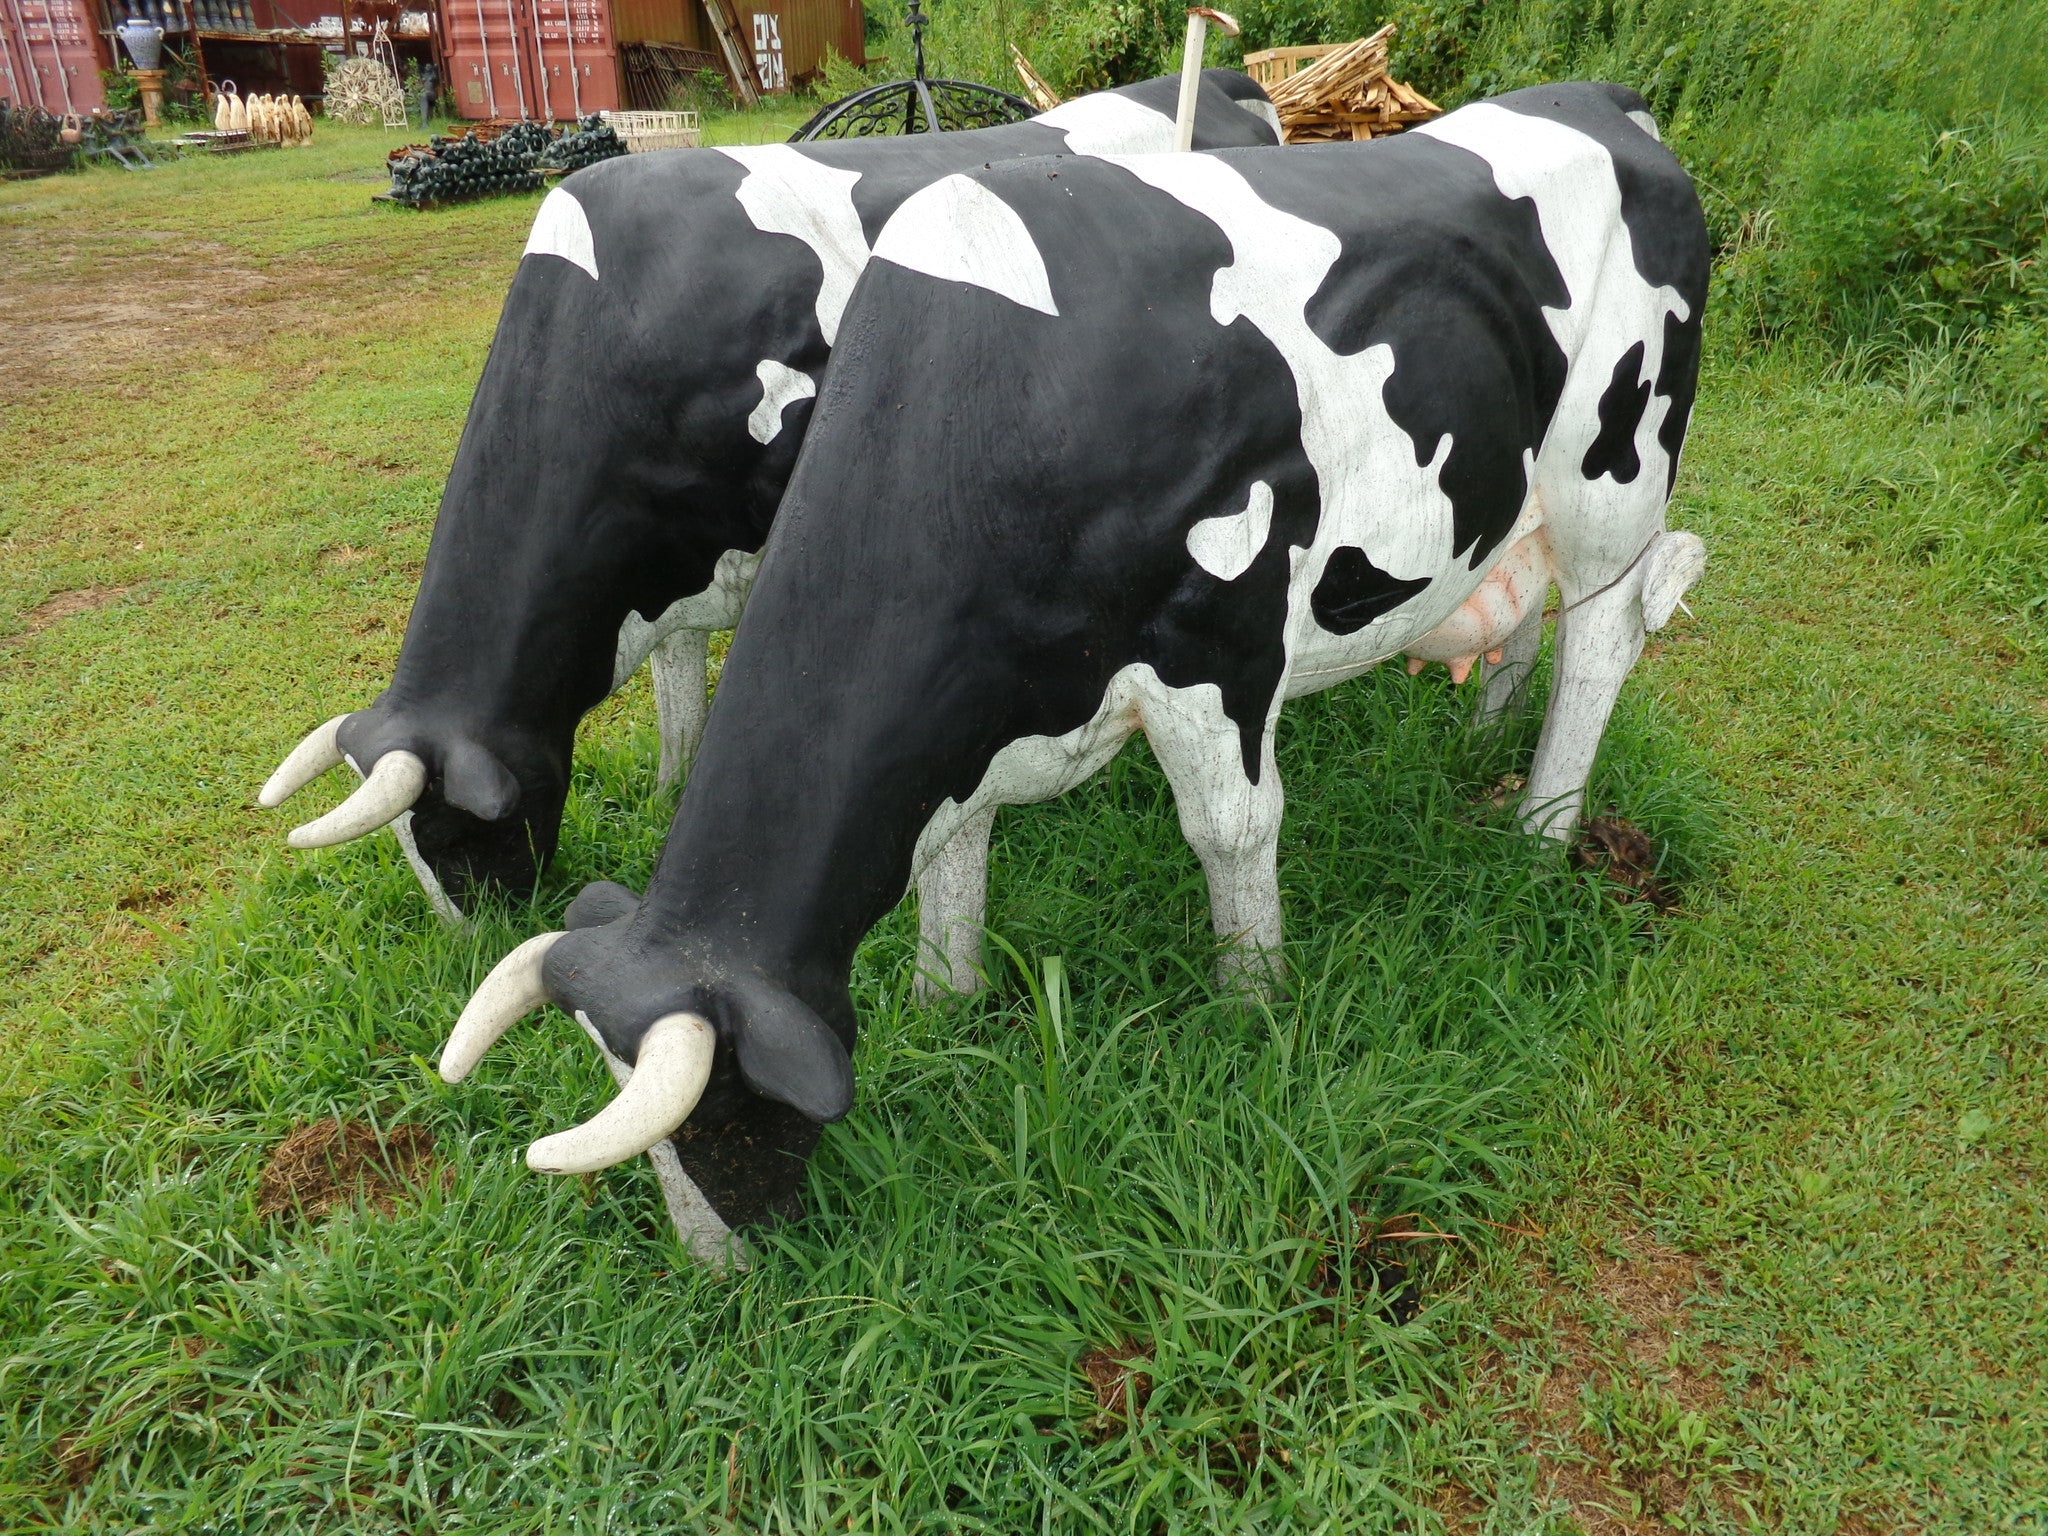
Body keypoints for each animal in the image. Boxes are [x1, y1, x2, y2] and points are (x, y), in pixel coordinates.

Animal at [256, 72, 1281, 925]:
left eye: (449, 833)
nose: (471, 940)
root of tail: (1229, 82)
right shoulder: (661, 562)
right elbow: (674, 686)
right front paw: (668, 788)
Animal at [435, 82, 1711, 1257]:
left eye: (718, 1115)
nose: (716, 1267)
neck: (1007, 411)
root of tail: (1599, 100)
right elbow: (946, 848)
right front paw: (943, 998)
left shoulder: (1221, 642)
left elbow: (1233, 834)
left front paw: (1253, 1005)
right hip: (1511, 510)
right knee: (1522, 612)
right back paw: (1488, 735)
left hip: (1613, 483)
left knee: (1605, 632)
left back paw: (1541, 823)